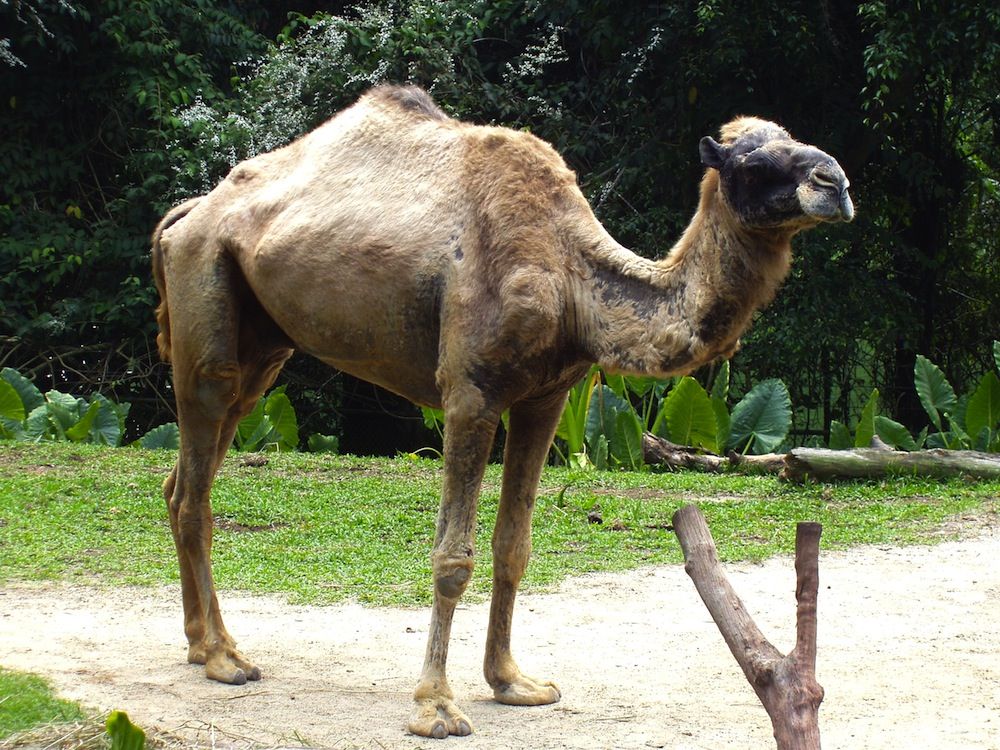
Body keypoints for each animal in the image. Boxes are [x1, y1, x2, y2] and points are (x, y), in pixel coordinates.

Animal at [151, 85, 853, 739]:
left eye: (795, 138)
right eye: (753, 161)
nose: (836, 183)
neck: (573, 281)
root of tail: (186, 216)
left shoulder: (548, 398)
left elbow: (513, 544)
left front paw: (513, 683)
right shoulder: (471, 394)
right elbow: (451, 557)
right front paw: (435, 708)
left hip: (264, 350)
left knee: (182, 480)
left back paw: (201, 646)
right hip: (206, 310)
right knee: (195, 481)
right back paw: (225, 659)